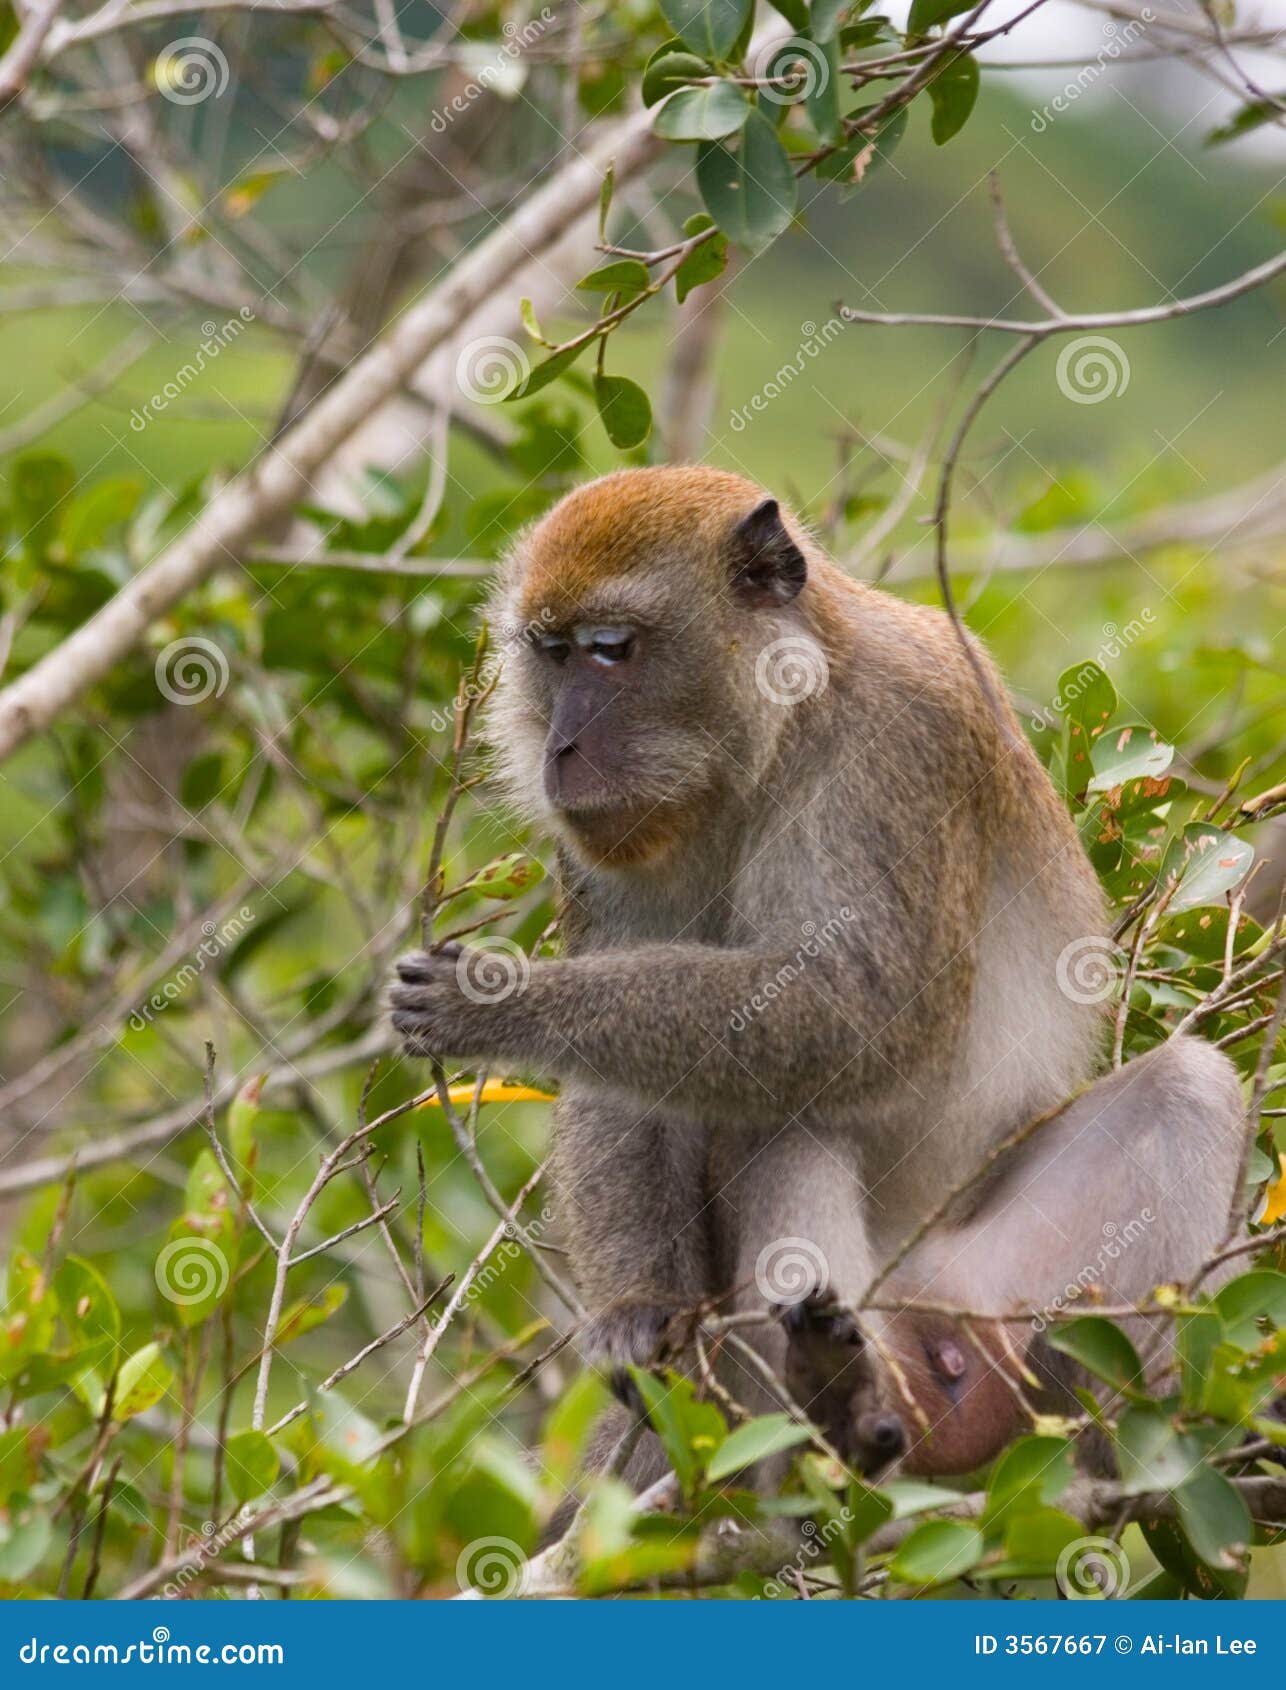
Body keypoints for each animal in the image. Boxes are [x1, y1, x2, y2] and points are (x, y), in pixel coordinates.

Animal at [390, 465, 1246, 1471]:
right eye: (552, 653)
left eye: (611, 651)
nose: (560, 748)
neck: (776, 732)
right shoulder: (604, 846)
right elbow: (629, 1086)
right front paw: (638, 1314)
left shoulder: (901, 741)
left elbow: (868, 1014)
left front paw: (502, 1001)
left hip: (1007, 1292)